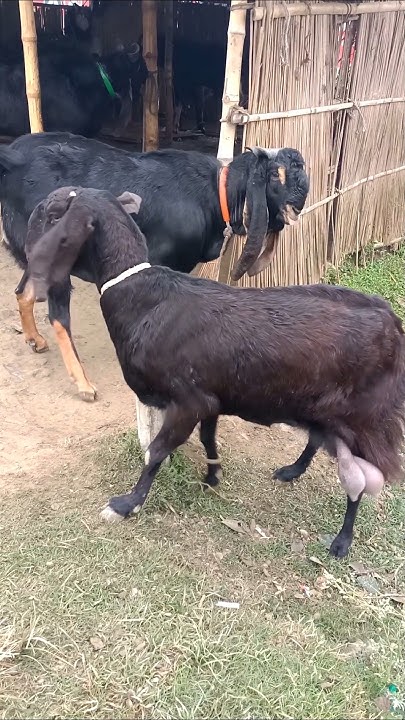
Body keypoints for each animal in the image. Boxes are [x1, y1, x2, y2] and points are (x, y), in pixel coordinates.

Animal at [0, 131, 309, 401]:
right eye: (274, 174)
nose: (298, 202)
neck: (214, 194)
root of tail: (13, 158)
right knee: (58, 317)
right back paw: (84, 384)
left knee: (23, 291)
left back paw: (34, 339)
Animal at [26, 187, 405, 558]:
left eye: (53, 215)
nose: (26, 247)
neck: (146, 301)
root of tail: (389, 318)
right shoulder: (210, 397)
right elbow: (207, 438)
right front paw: (213, 475)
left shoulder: (187, 401)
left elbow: (156, 451)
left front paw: (126, 504)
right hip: (319, 406)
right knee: (317, 438)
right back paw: (292, 470)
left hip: (364, 421)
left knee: (360, 481)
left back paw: (342, 540)